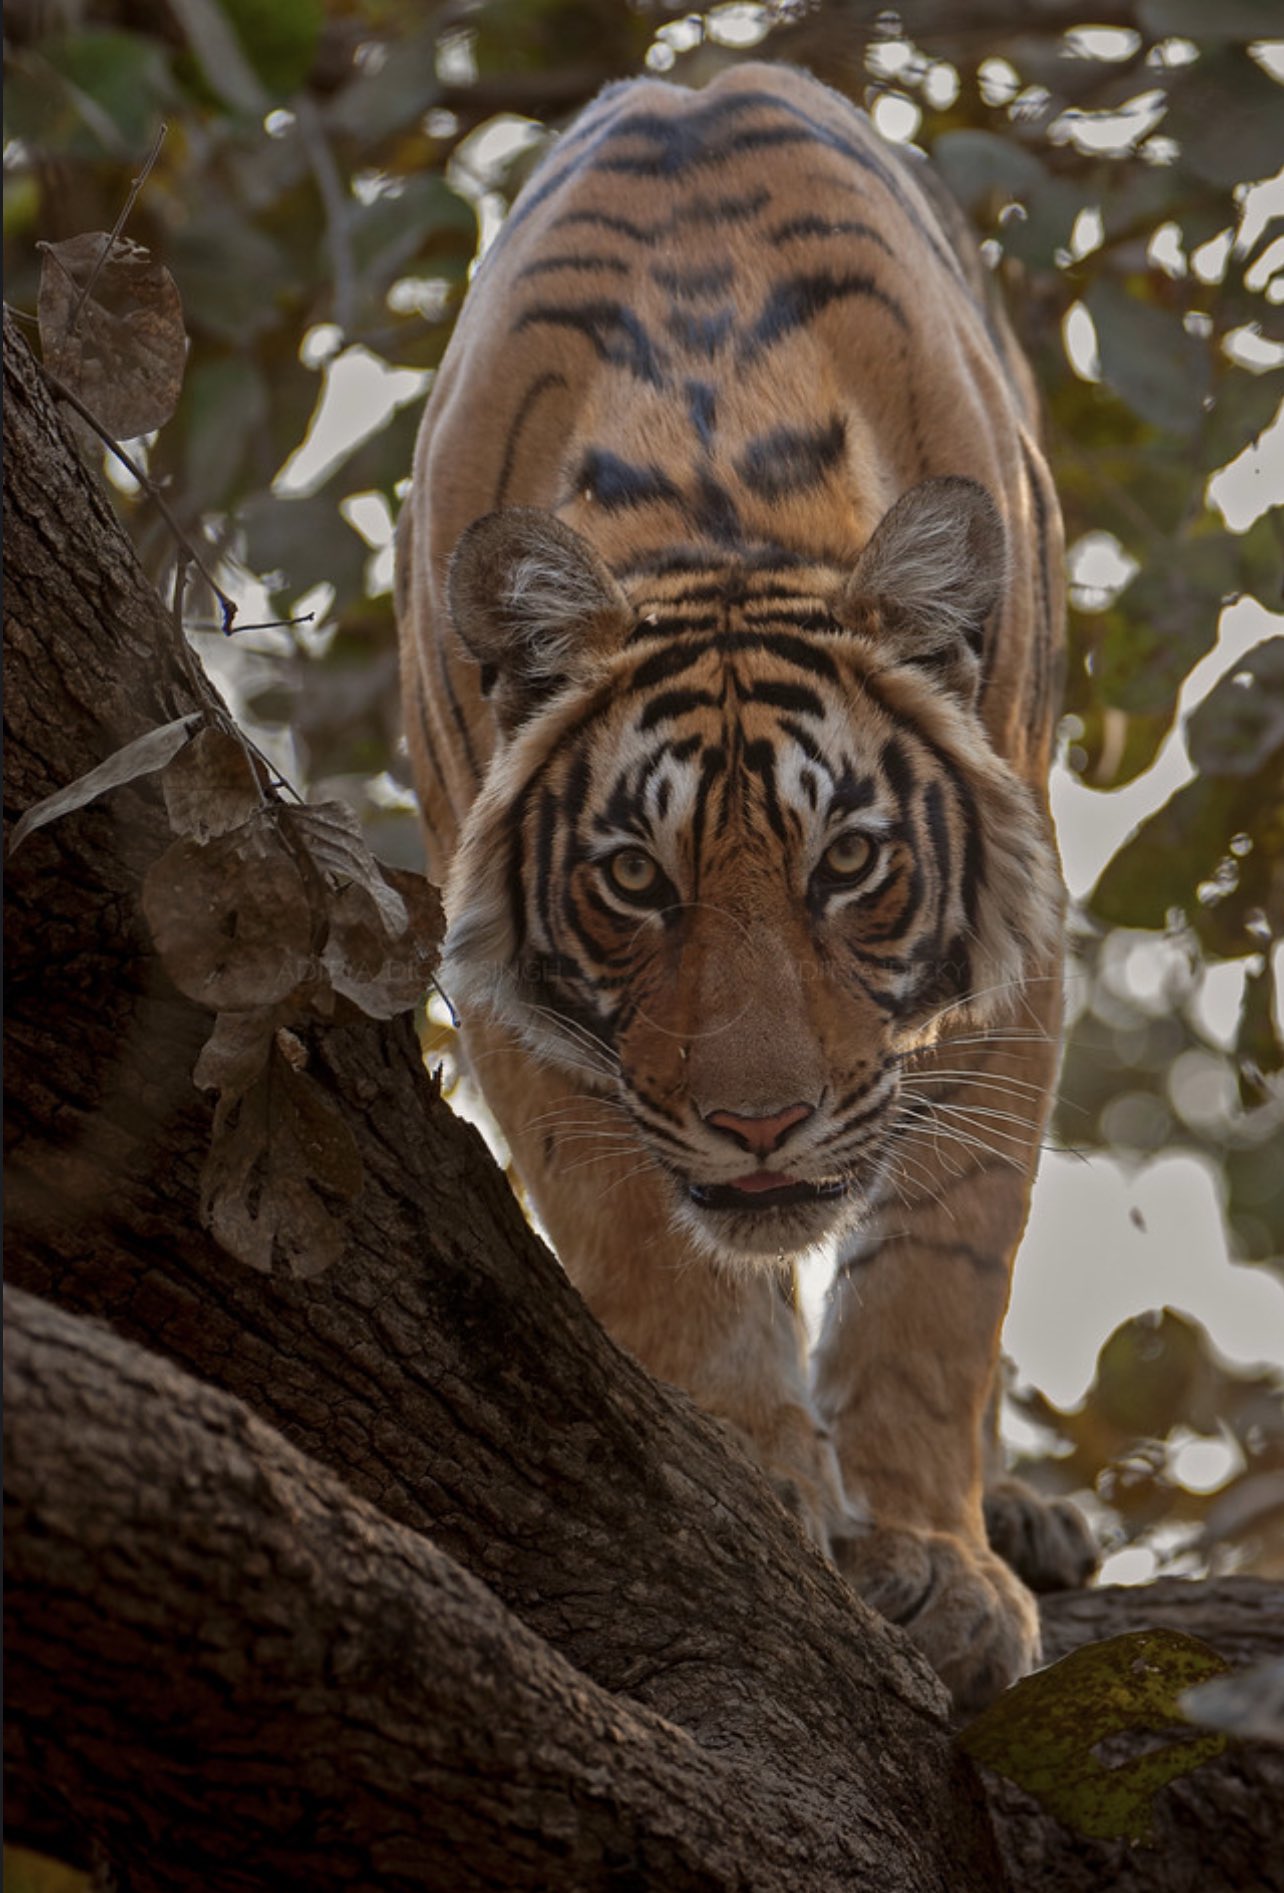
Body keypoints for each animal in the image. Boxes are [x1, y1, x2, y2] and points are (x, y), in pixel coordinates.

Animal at [396, 61, 1096, 1716]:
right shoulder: (515, 1004)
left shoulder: (1016, 965)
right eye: (631, 878)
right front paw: (758, 1485)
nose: (763, 1124)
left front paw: (940, 1563)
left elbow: (940, 1266)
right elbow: (644, 1240)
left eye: (849, 861)